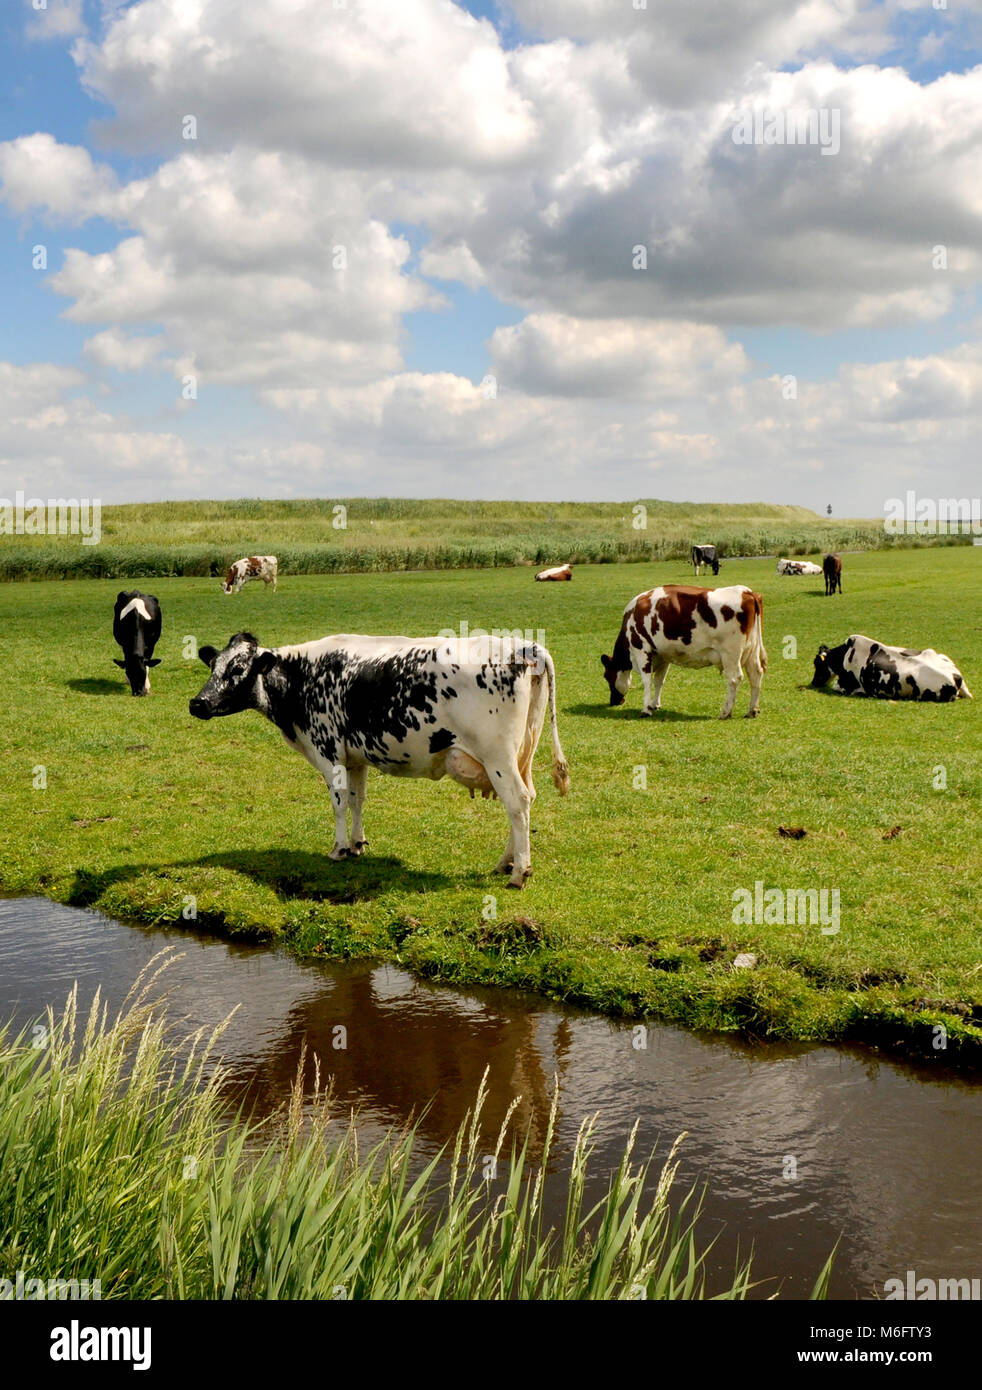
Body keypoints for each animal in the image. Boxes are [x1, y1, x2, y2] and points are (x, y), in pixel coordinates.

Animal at [189, 630, 570, 888]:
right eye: (213, 665)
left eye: (238, 669)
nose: (198, 703)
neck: (302, 677)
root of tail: (521, 645)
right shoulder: (355, 757)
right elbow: (358, 800)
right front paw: (357, 844)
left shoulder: (328, 751)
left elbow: (339, 802)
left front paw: (339, 849)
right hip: (521, 755)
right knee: (524, 801)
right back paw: (507, 863)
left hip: (498, 758)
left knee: (517, 803)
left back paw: (519, 873)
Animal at [600, 584, 767, 719]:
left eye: (607, 676)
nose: (614, 702)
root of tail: (746, 591)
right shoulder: (662, 655)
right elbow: (659, 680)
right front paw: (655, 704)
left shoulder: (641, 649)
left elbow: (647, 681)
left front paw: (646, 709)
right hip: (751, 650)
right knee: (756, 674)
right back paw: (752, 710)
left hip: (730, 653)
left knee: (734, 678)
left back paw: (725, 712)